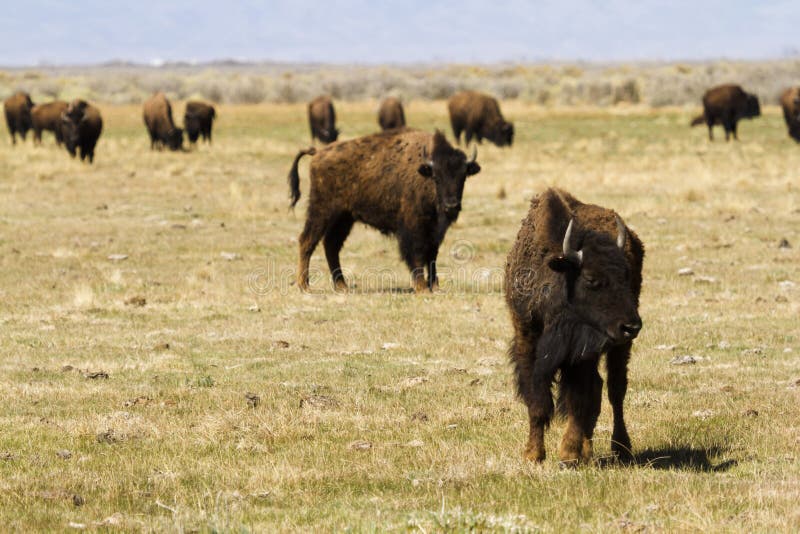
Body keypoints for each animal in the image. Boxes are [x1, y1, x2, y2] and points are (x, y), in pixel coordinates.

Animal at [288, 129, 480, 292]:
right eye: (436, 177)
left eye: (463, 177)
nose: (451, 205)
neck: (424, 172)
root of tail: (318, 153)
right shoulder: (414, 228)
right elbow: (417, 254)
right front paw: (422, 288)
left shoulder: (434, 231)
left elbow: (432, 256)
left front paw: (435, 286)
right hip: (321, 210)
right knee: (307, 241)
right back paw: (304, 285)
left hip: (344, 218)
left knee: (331, 245)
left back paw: (342, 286)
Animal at [505, 188, 644, 465]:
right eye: (591, 278)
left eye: (625, 275)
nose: (632, 326)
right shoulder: (527, 340)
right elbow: (538, 401)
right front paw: (533, 453)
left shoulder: (580, 353)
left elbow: (579, 399)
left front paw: (568, 453)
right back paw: (588, 450)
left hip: (619, 348)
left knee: (615, 391)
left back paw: (621, 448)